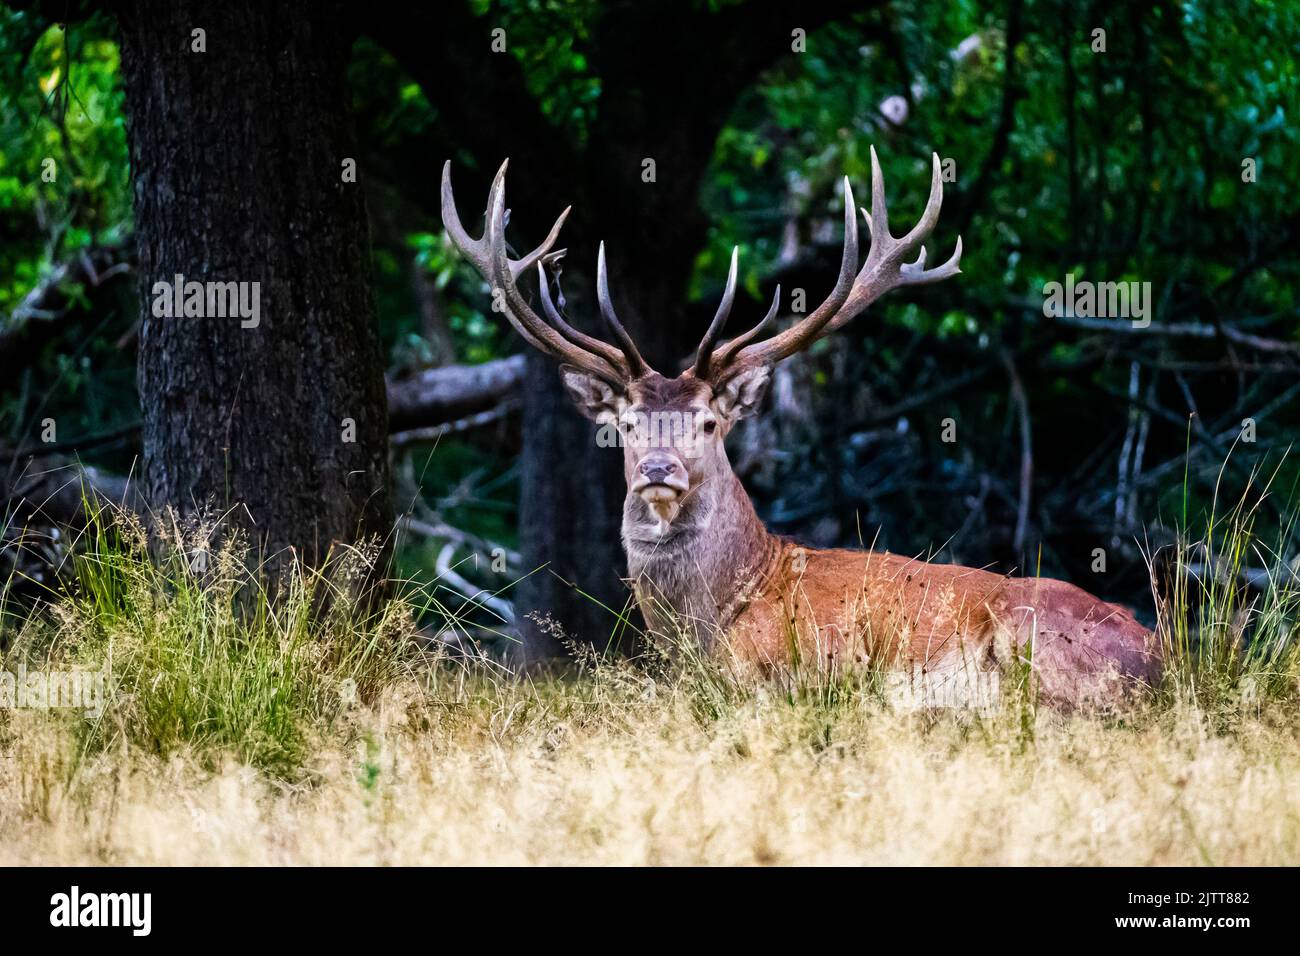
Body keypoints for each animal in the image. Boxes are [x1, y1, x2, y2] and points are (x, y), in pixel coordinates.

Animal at [441, 151, 1162, 707]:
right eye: (626, 423)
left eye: (709, 421)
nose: (658, 470)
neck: (715, 618)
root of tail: (1160, 660)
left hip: (1027, 641)